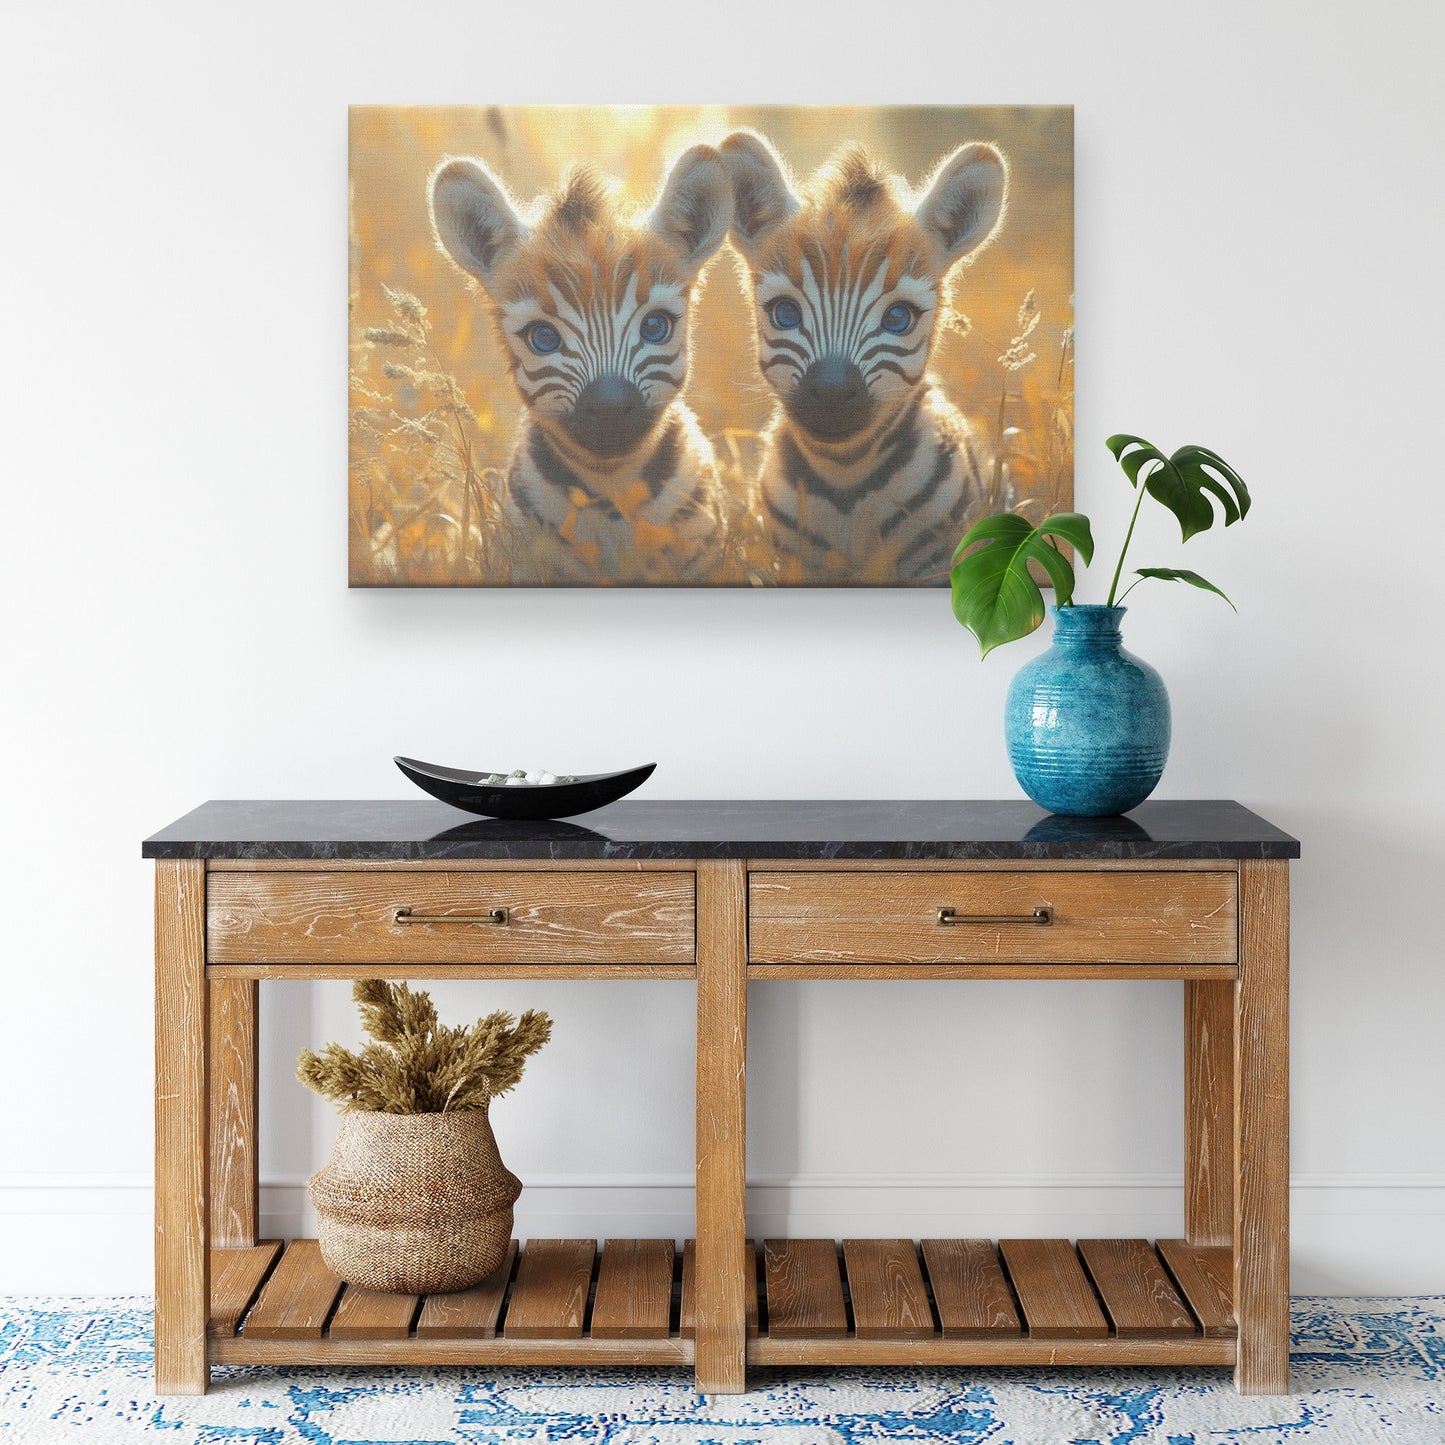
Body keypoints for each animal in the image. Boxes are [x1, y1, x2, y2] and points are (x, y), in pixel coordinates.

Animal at [429, 146, 732, 584]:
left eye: (655, 326)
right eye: (543, 337)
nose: (610, 408)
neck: (610, 494)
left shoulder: (702, 558)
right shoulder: (529, 560)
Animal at [719, 130, 1009, 584]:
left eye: (899, 318)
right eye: (785, 313)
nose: (832, 394)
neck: (846, 481)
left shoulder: (936, 562)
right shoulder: (793, 565)